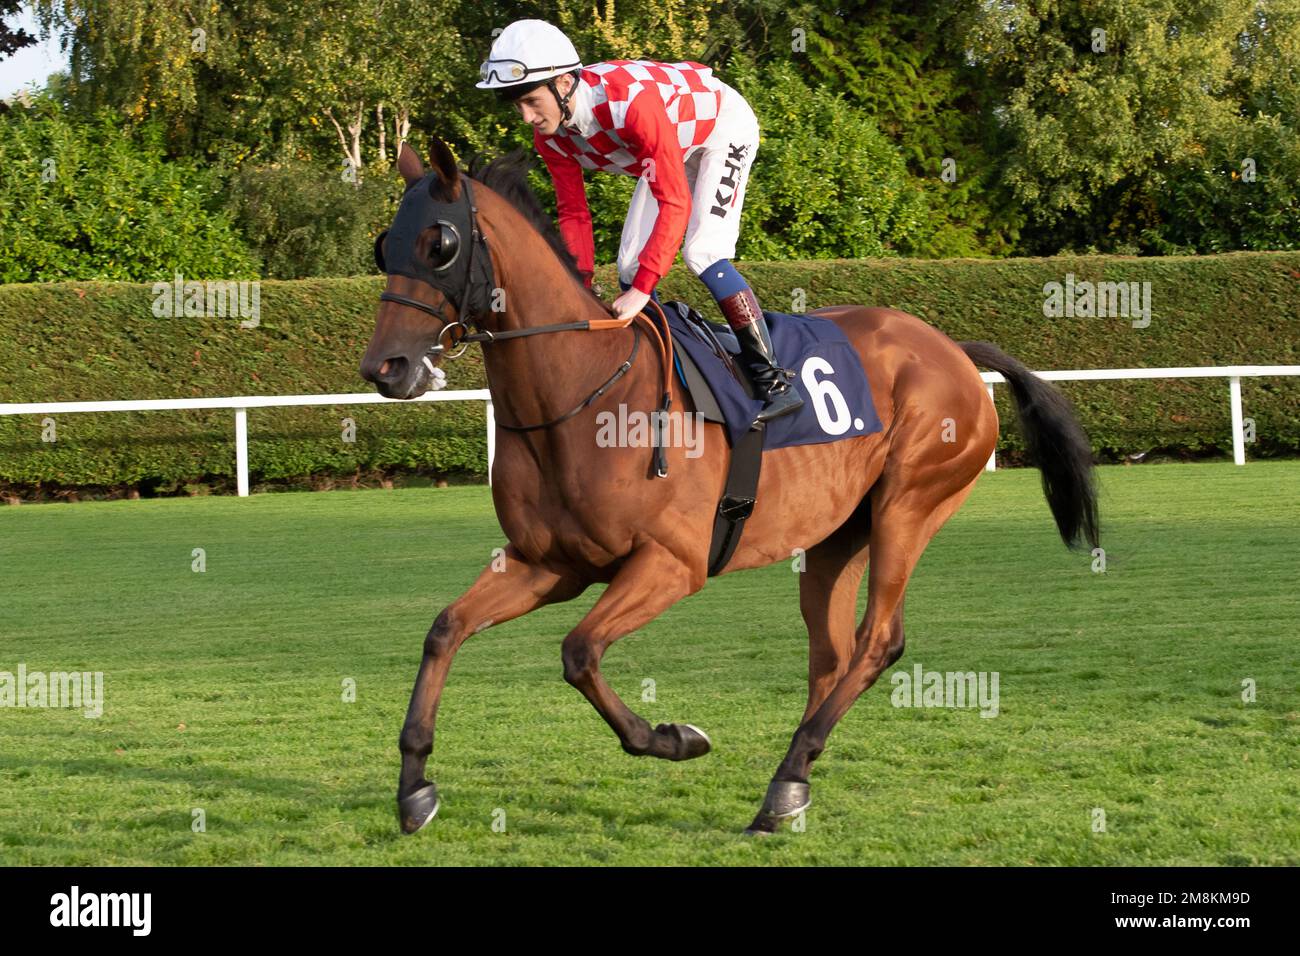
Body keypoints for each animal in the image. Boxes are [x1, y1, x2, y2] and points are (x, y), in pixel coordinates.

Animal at [360, 139, 1099, 835]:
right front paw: (414, 787)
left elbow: (579, 653)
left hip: (910, 508)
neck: (583, 389)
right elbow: (445, 629)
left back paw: (785, 780)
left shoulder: (671, 563)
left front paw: (674, 737)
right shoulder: (550, 563)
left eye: (440, 244)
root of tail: (954, 350)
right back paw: (791, 785)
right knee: (831, 655)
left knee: (877, 642)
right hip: (838, 538)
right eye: (384, 245)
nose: (384, 368)